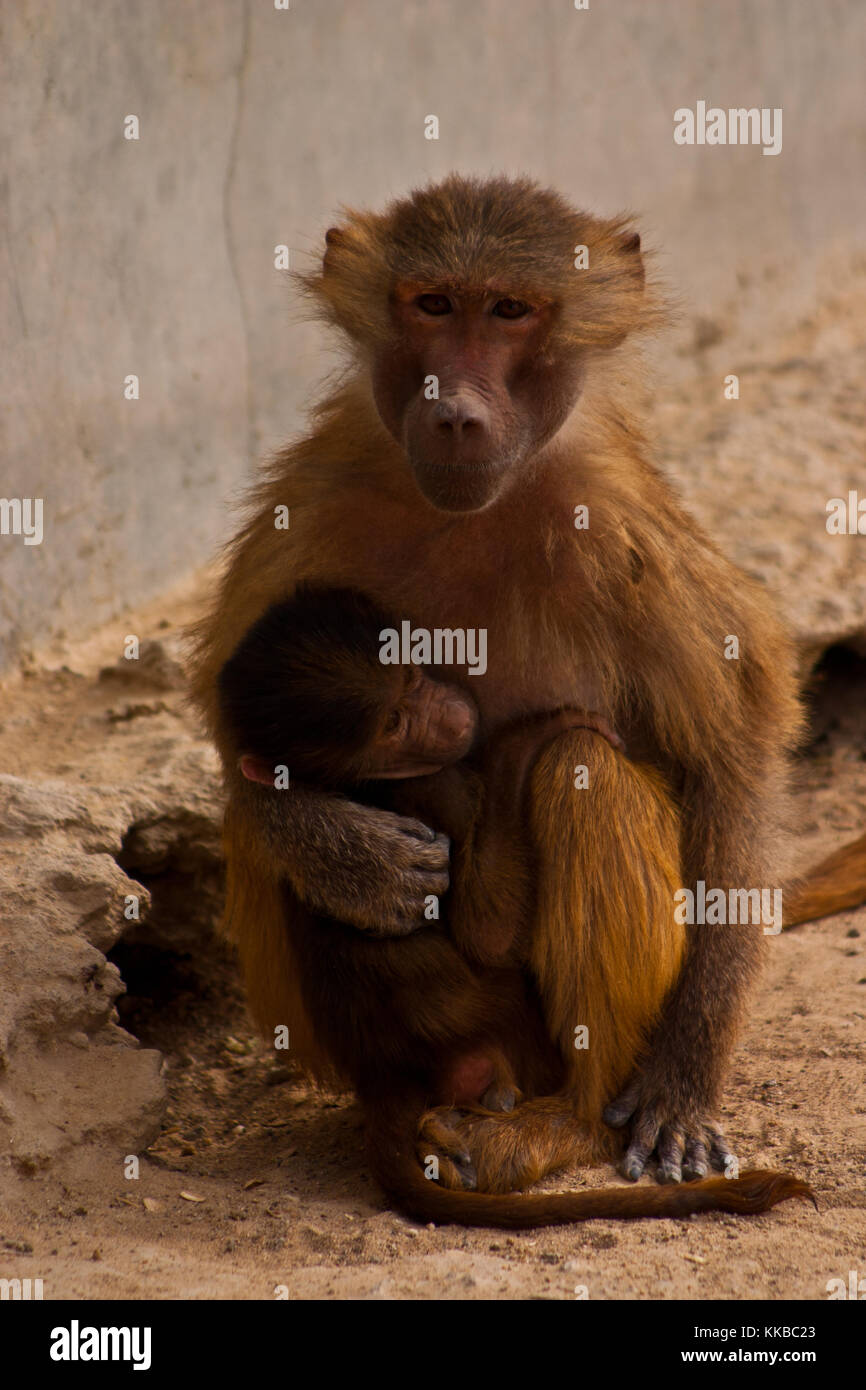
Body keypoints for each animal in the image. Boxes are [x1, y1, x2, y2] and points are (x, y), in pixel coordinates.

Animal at [189, 174, 864, 1226]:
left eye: (509, 310)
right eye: (432, 304)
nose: (456, 412)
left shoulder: (624, 522)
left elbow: (733, 742)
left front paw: (683, 1080)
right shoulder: (318, 489)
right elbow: (234, 730)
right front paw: (344, 855)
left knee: (581, 767)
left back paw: (574, 1121)